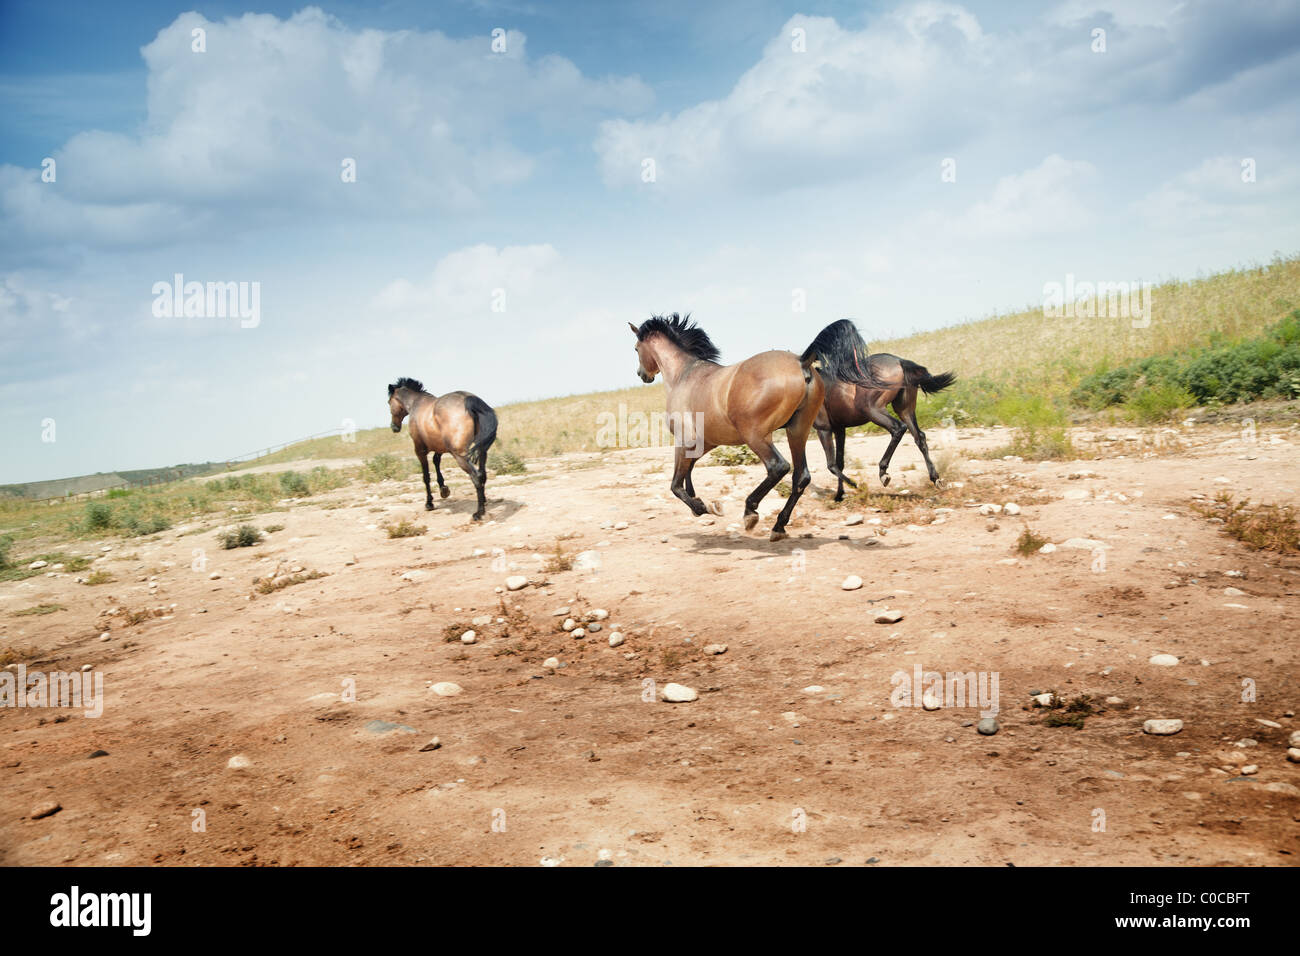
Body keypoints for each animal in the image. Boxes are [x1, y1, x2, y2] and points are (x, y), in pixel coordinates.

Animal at [387, 377, 498, 520]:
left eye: (389, 402)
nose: (394, 427)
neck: (415, 403)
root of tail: (469, 400)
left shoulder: (420, 451)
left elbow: (426, 476)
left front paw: (429, 503)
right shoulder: (440, 447)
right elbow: (436, 461)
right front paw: (444, 489)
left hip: (460, 455)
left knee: (477, 477)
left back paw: (479, 512)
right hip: (481, 451)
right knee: (483, 474)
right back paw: (483, 501)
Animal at [629, 313, 888, 541]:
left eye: (636, 349)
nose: (642, 374)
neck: (684, 376)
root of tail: (801, 361)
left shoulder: (685, 440)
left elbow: (675, 484)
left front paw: (703, 507)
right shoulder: (707, 442)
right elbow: (687, 472)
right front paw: (699, 504)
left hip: (755, 435)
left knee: (778, 467)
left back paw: (750, 512)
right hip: (798, 430)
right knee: (801, 476)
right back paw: (779, 526)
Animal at [804, 320, 956, 501]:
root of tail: (900, 361)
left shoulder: (824, 428)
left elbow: (831, 464)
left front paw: (854, 485)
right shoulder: (840, 428)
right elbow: (840, 462)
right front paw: (840, 494)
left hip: (872, 409)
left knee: (898, 428)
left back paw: (883, 473)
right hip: (904, 409)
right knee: (919, 437)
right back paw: (936, 478)